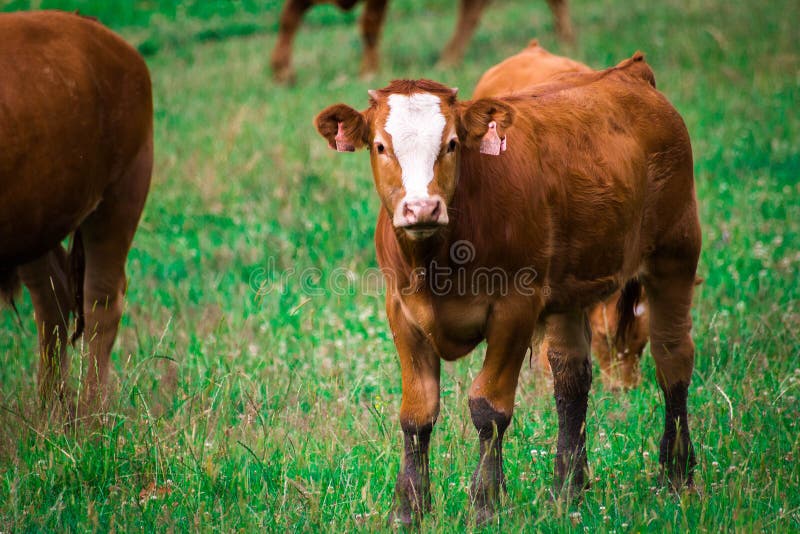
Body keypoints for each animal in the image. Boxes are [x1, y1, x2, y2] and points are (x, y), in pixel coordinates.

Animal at [0, 11, 153, 417]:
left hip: (120, 195)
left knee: (101, 298)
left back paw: (90, 417)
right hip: (38, 220)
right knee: (51, 299)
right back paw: (50, 413)